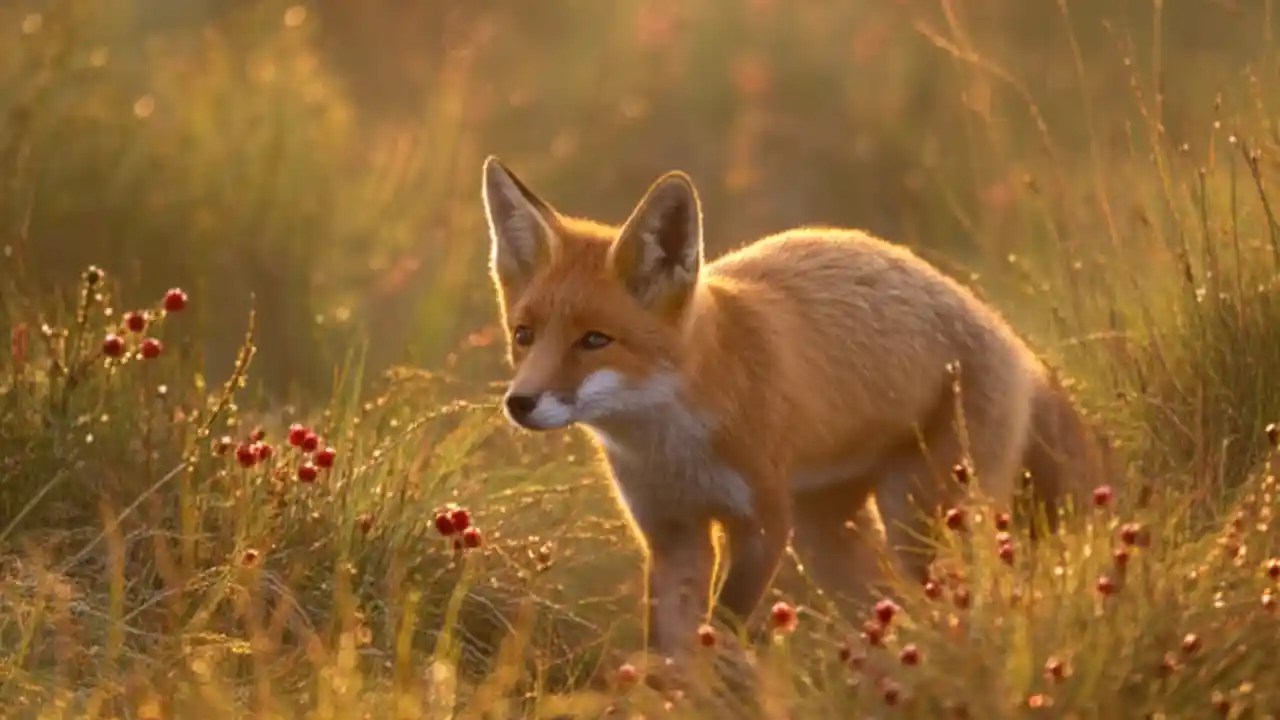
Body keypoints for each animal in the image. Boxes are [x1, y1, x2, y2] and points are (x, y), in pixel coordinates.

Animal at [479, 155, 1111, 663]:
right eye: (524, 335)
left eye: (594, 340)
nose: (520, 402)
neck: (671, 441)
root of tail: (1005, 331)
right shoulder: (670, 530)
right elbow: (670, 649)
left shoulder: (763, 521)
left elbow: (719, 628)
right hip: (829, 536)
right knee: (889, 609)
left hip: (920, 518)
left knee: (950, 602)